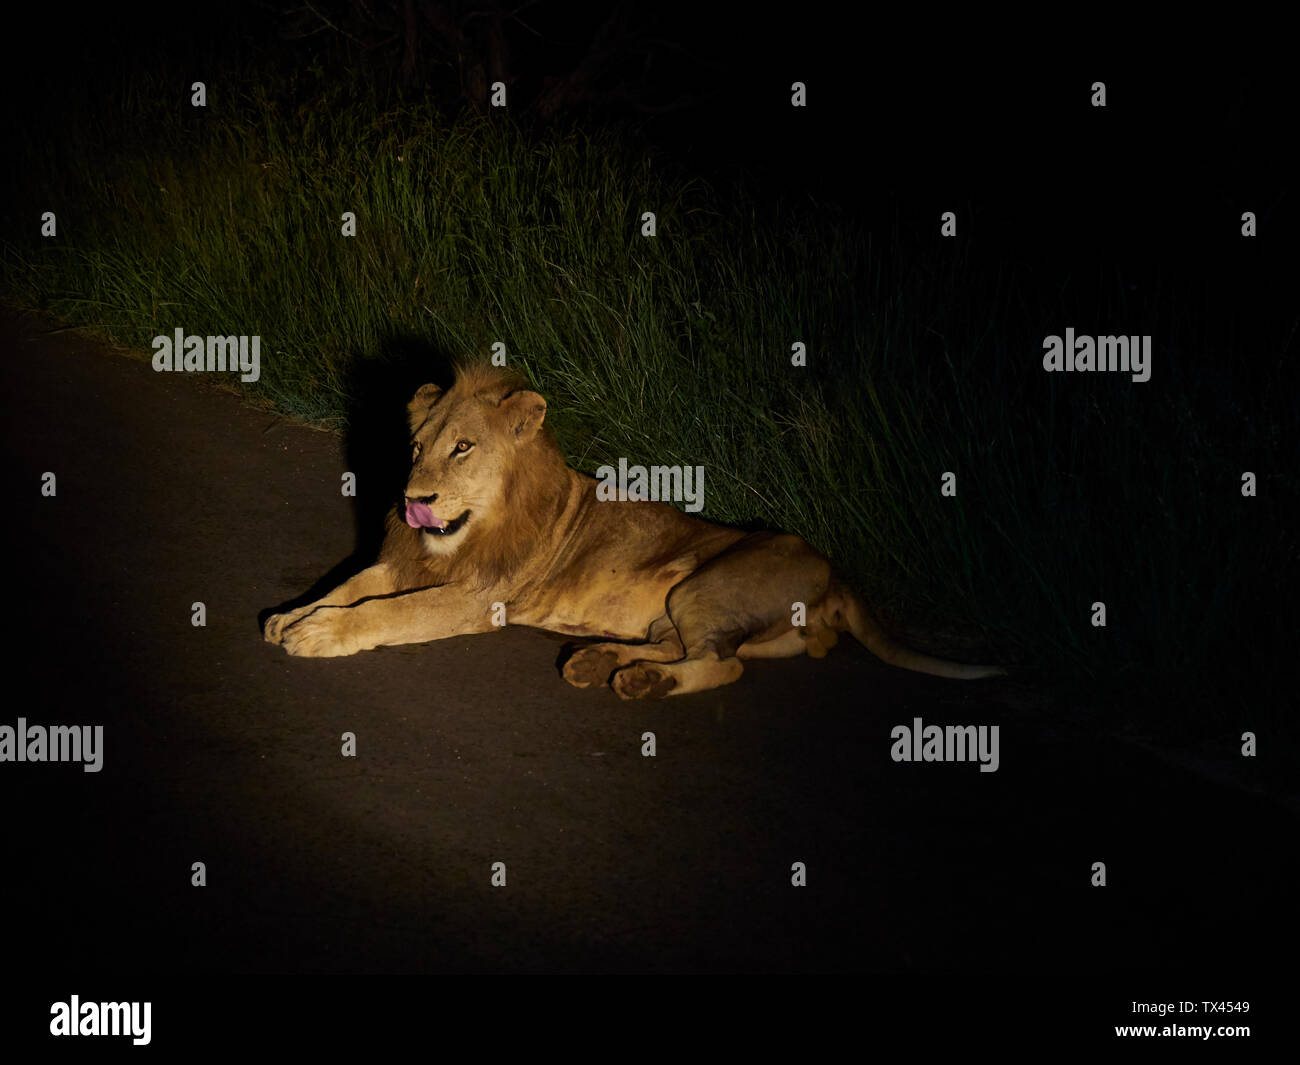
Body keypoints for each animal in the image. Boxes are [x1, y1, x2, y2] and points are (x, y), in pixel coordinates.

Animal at [263, 364, 1003, 697]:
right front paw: (293, 615)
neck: (463, 534)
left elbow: (384, 613)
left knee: (722, 662)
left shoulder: (476, 597)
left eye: (464, 448)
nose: (413, 500)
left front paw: (319, 634)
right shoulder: (408, 563)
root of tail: (837, 573)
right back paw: (598, 662)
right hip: (695, 612)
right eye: (416, 446)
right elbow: (350, 584)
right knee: (686, 646)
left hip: (703, 587)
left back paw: (637, 682)